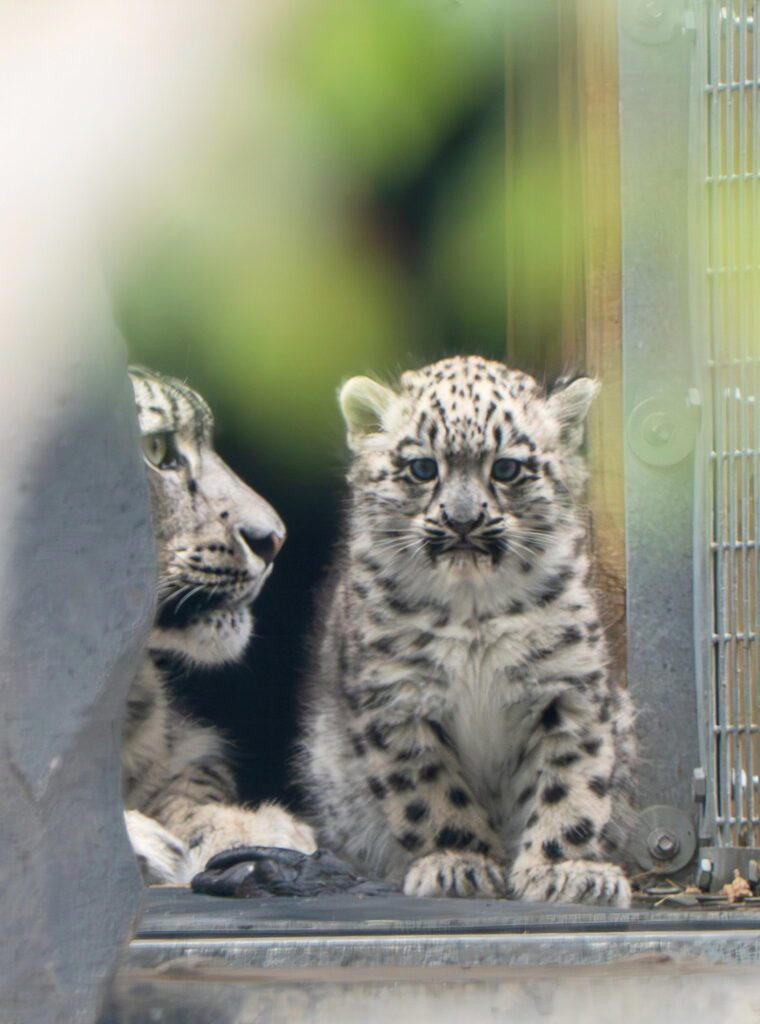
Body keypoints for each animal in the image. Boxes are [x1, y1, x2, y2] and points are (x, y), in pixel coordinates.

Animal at [299, 355, 635, 906]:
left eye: (506, 468)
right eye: (422, 467)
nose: (462, 520)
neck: (474, 613)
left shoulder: (567, 690)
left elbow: (569, 782)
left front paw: (563, 870)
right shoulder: (399, 699)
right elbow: (431, 792)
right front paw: (460, 863)